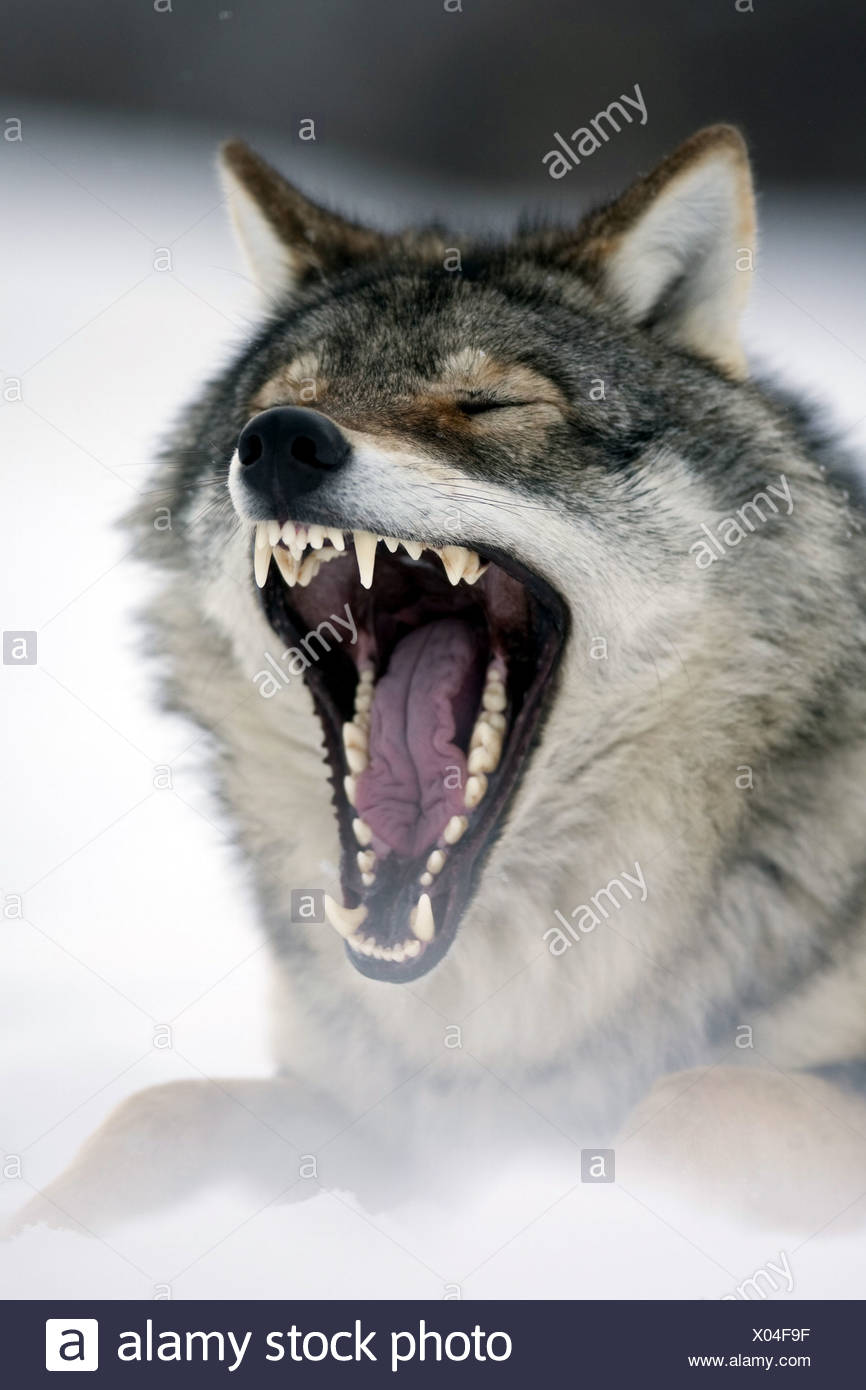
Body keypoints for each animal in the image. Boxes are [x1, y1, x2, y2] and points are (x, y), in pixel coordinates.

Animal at [14, 125, 866, 1239]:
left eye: (489, 403)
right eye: (275, 401)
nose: (281, 442)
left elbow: (687, 1103)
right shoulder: (376, 1109)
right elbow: (155, 1111)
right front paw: (44, 1231)